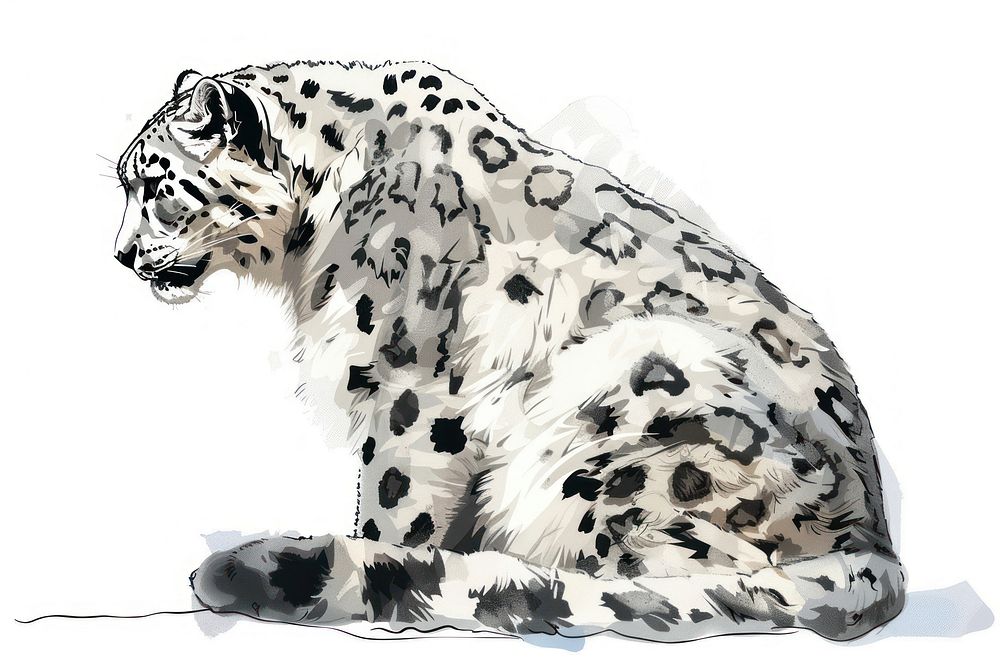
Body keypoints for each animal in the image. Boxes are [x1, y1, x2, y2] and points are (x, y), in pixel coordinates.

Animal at [112, 59, 904, 641]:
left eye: (155, 186)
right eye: (126, 180)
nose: (120, 255)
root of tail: (874, 536)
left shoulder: (408, 386)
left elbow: (393, 503)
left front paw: (383, 560)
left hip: (627, 407)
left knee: (697, 579)